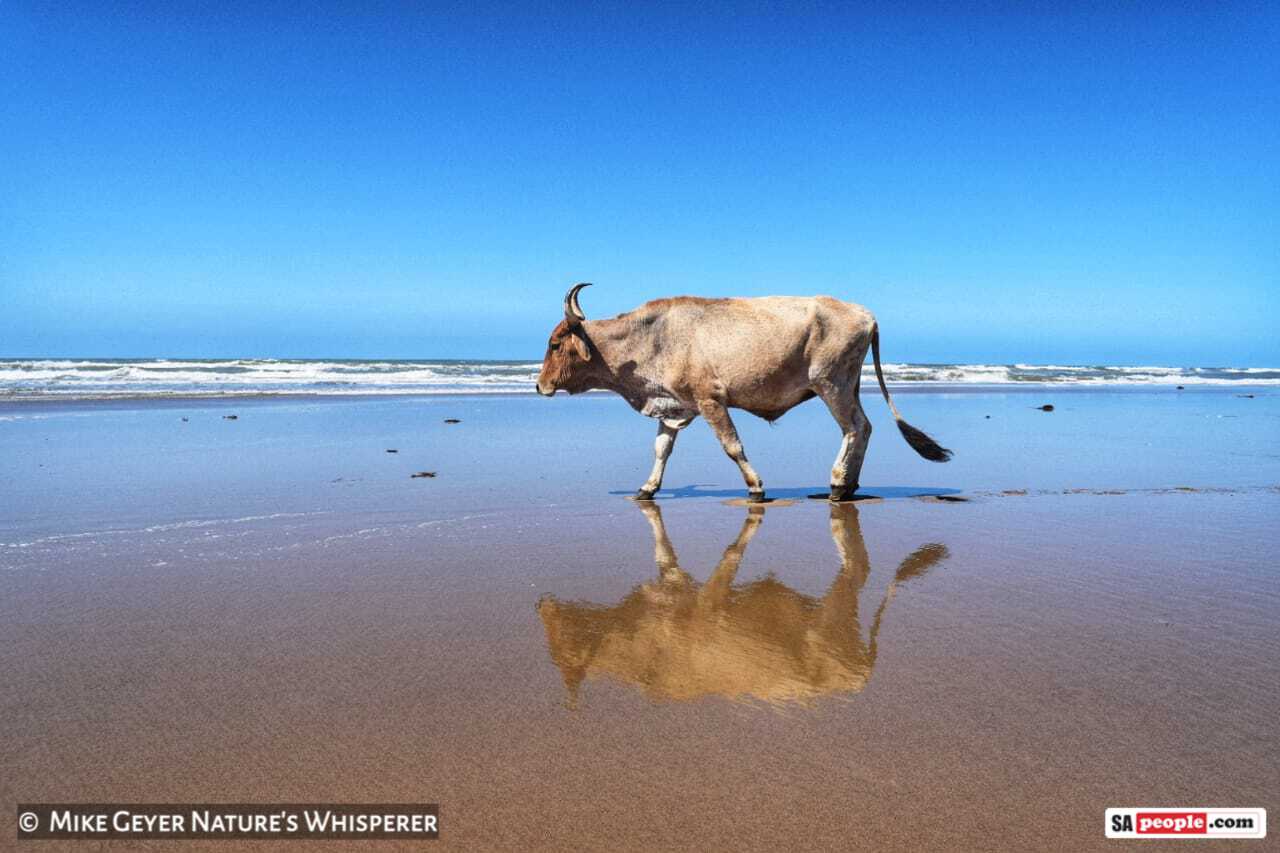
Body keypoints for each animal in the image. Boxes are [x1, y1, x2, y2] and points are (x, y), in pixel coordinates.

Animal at [536, 283, 951, 502]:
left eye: (555, 344)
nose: (539, 385)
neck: (653, 337)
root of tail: (865, 314)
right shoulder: (674, 406)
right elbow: (661, 450)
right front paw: (647, 488)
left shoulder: (710, 400)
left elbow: (732, 445)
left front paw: (756, 486)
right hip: (848, 384)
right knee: (864, 429)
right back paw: (849, 484)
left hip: (830, 383)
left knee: (856, 428)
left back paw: (837, 483)